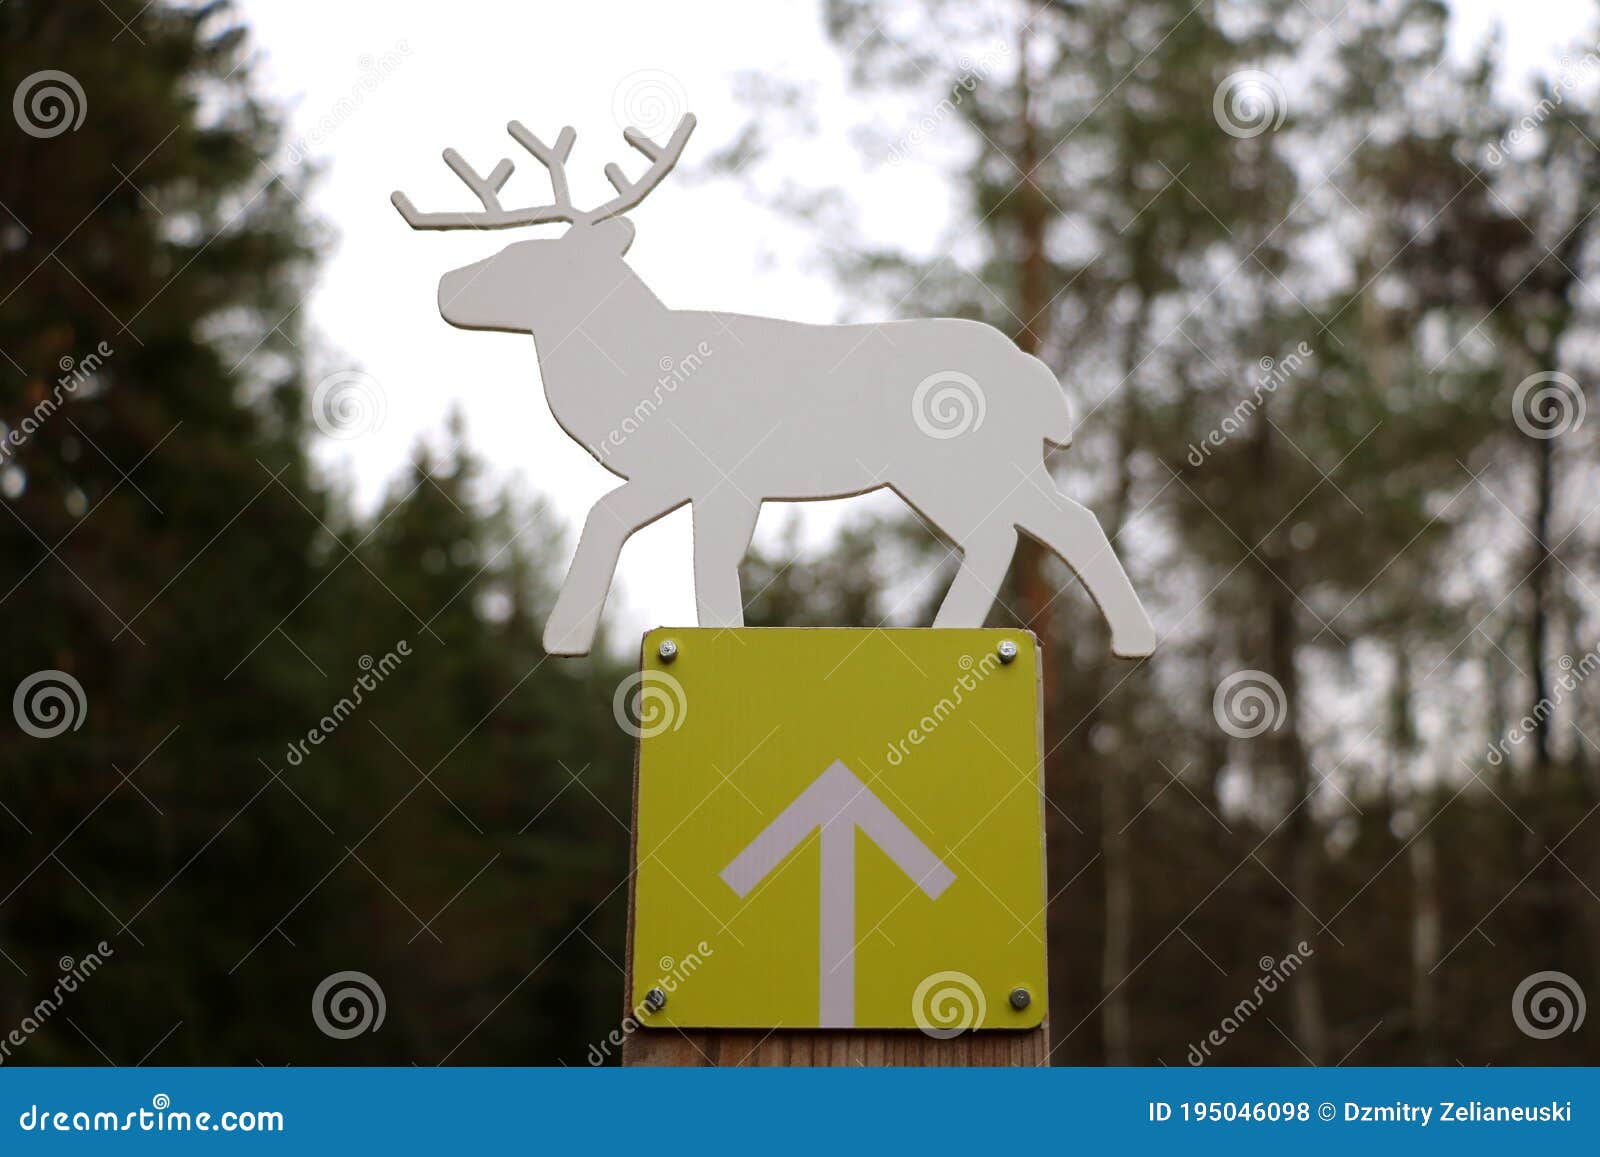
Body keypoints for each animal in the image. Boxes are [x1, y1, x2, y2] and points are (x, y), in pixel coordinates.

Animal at [392, 111, 1156, 660]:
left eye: (523, 260)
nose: (443, 285)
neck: (634, 371)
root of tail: (1037, 377)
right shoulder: (714, 481)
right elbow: (701, 554)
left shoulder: (705, 468)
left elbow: (625, 523)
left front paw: (566, 637)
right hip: (967, 469)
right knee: (1024, 529)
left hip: (962, 462)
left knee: (1046, 525)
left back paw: (1116, 640)